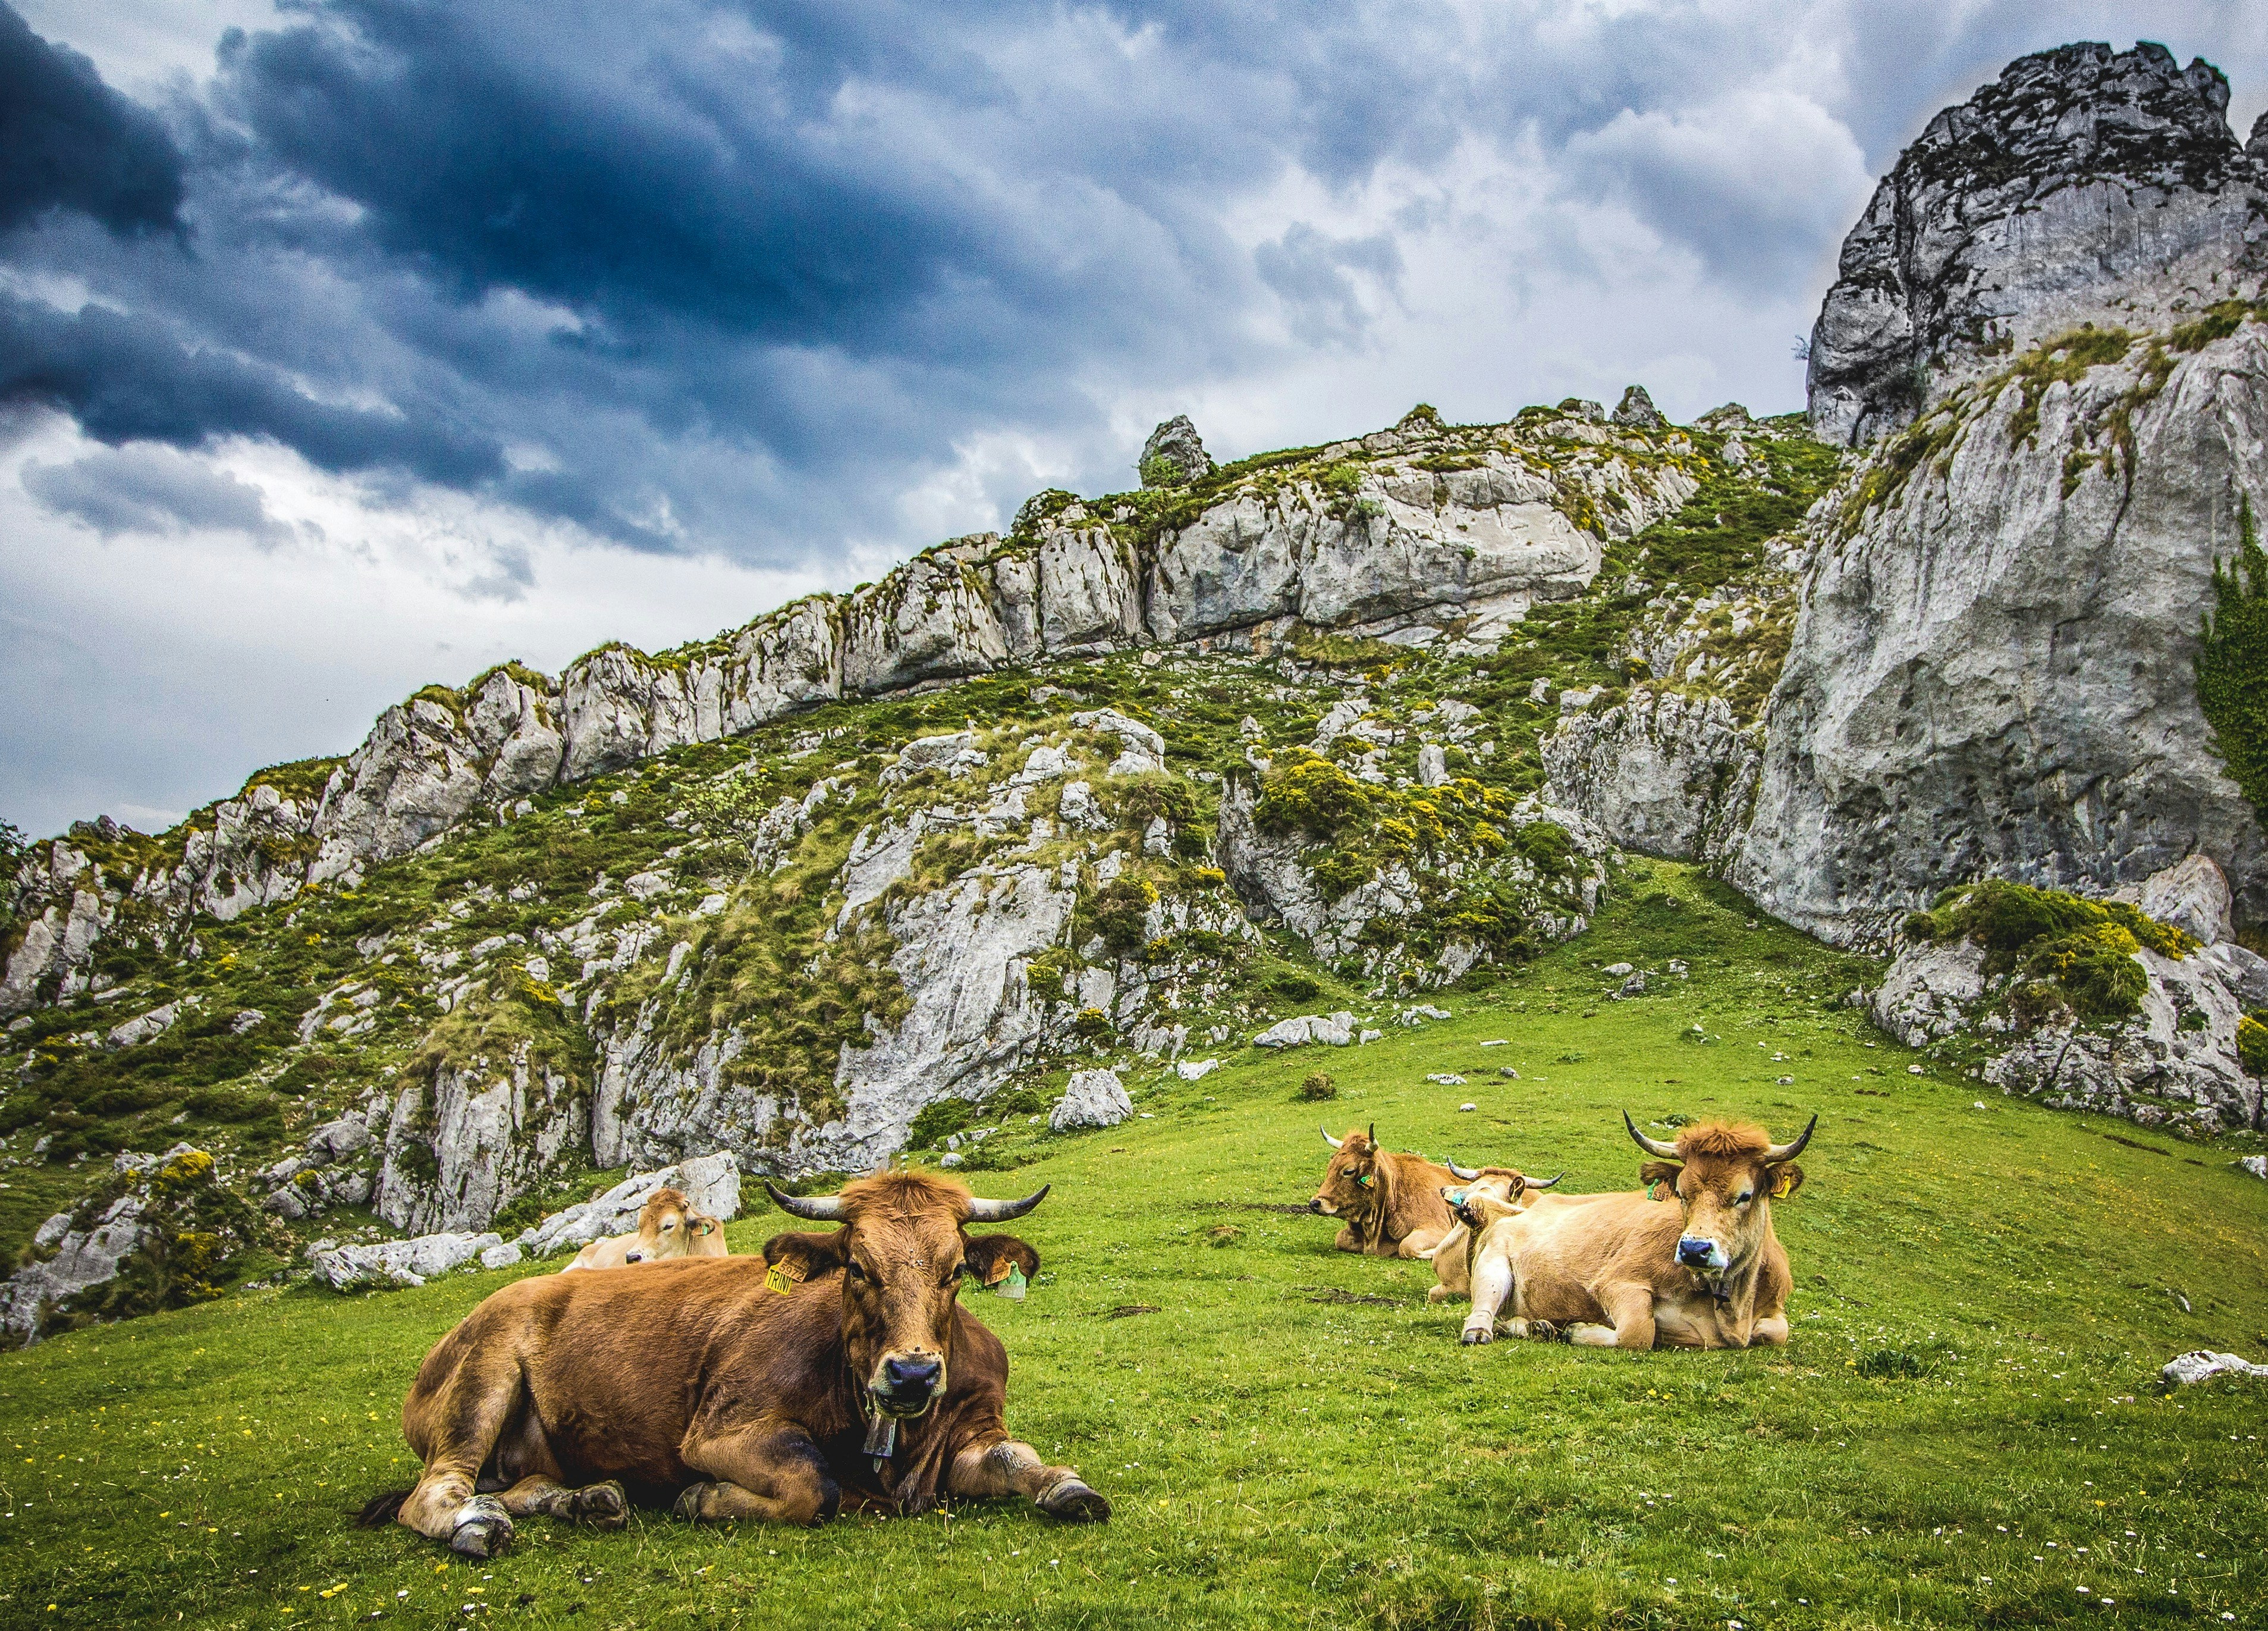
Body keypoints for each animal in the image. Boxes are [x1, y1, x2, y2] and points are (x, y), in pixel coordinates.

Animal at [1311, 1124, 1457, 1259]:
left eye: (1348, 1171)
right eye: (1330, 1167)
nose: (1314, 1203)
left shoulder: (1437, 1228)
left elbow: (1406, 1247)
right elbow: (1340, 1239)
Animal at [1455, 1113, 1814, 1349]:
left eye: (1745, 1195)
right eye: (1681, 1193)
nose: (1694, 1250)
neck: (1732, 1309)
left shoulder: (1773, 1311)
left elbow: (1776, 1333)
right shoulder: (1619, 1283)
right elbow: (1638, 1333)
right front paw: (1577, 1331)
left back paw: (1540, 1326)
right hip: (1493, 1265)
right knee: (1483, 1313)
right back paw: (1492, 1330)